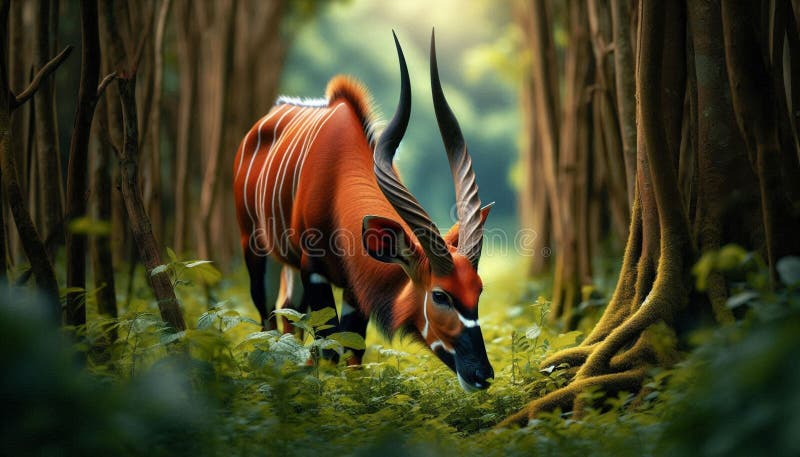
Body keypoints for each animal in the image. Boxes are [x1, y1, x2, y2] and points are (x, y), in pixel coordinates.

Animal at [233, 31, 494, 391]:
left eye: (478, 290)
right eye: (441, 295)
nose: (482, 374)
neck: (338, 174)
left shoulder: (356, 288)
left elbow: (352, 348)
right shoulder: (313, 269)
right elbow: (329, 347)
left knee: (289, 313)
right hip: (255, 247)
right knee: (267, 313)